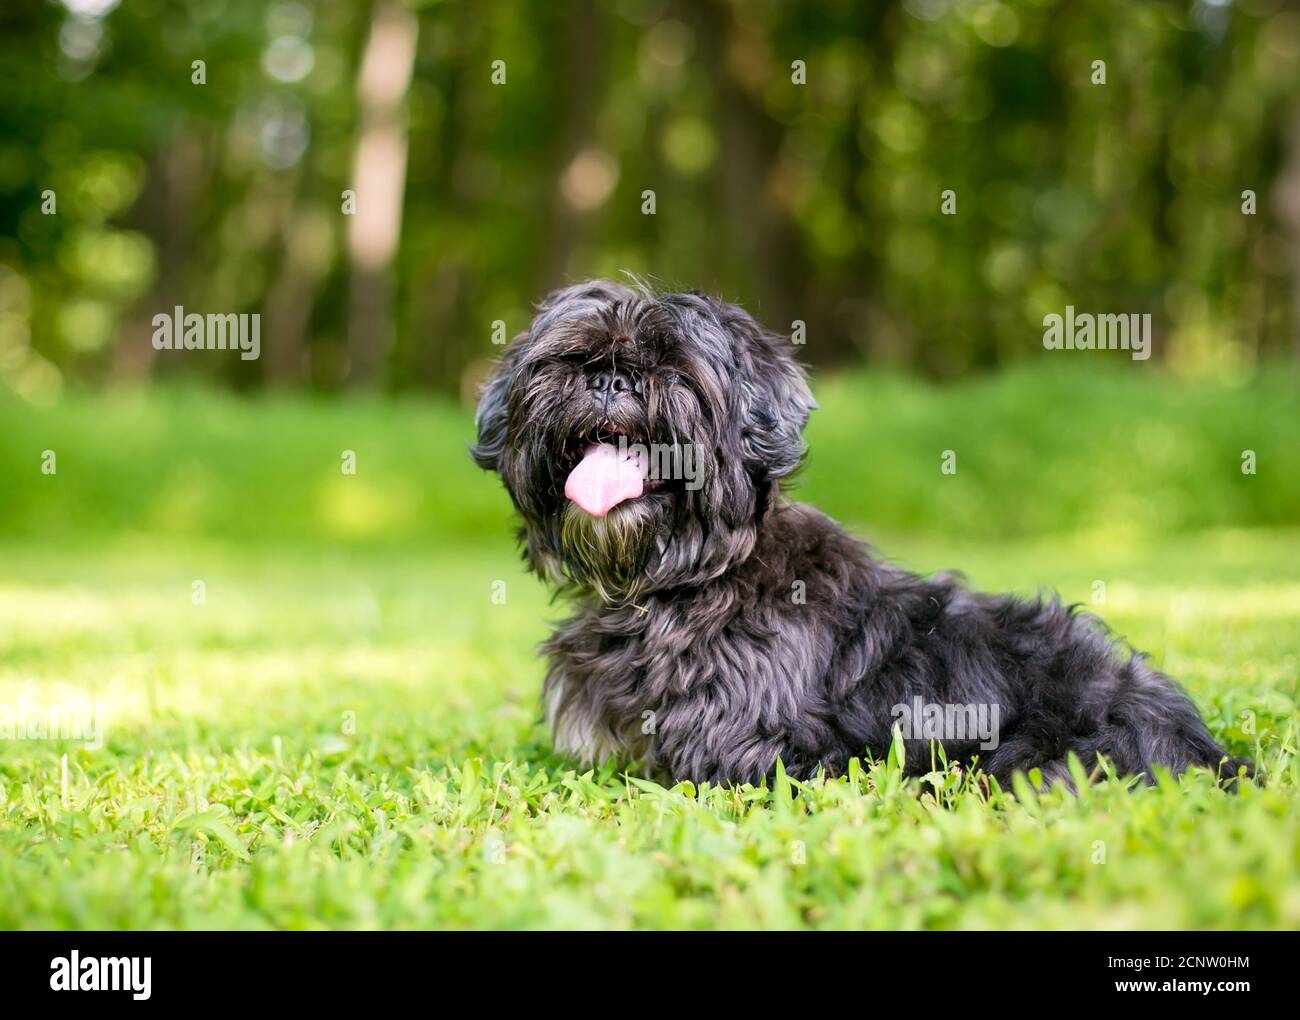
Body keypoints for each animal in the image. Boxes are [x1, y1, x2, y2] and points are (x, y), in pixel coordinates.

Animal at [473, 278, 1253, 790]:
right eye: (574, 357)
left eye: (671, 366)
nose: (609, 379)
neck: (676, 578)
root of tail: (1204, 754)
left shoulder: (746, 760)